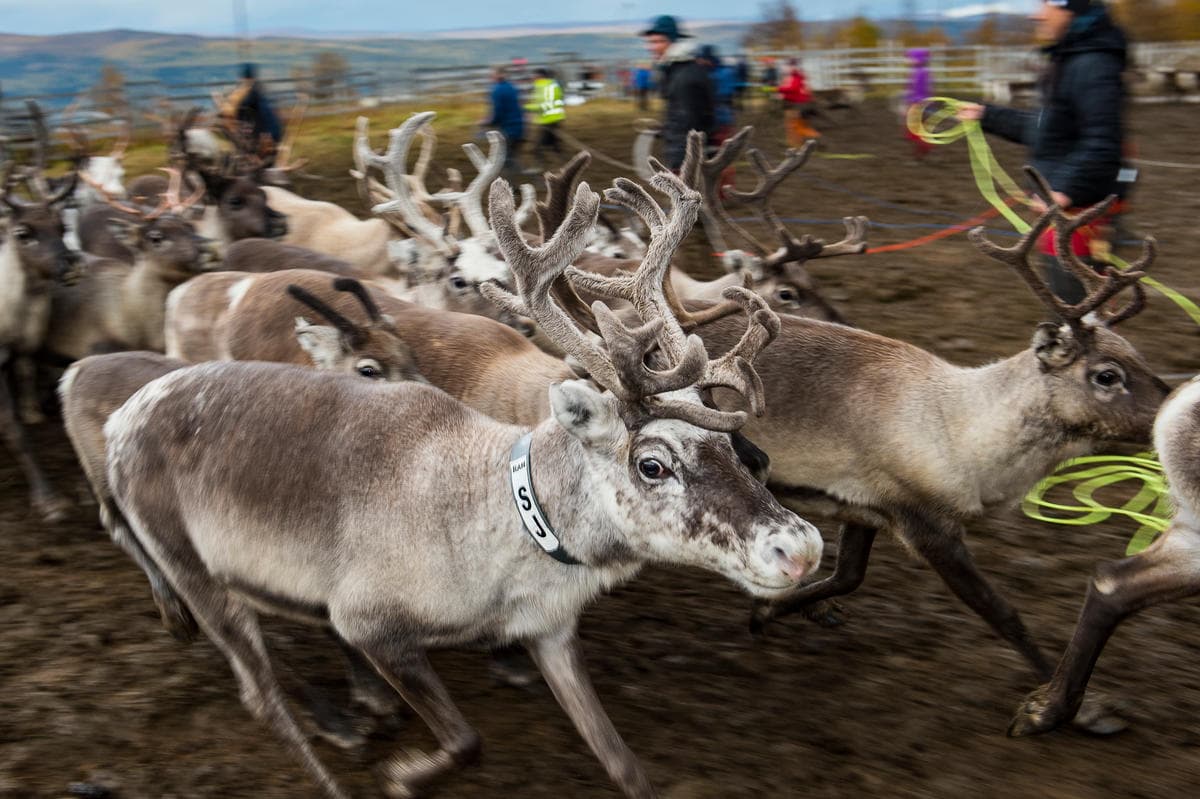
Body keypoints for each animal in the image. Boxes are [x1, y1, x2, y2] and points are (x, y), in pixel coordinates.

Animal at [93, 168, 821, 799]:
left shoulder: (550, 633)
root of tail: (124, 416)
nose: (802, 547)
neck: (512, 518)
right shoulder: (372, 624)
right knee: (258, 690)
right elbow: (467, 740)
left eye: (728, 444)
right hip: (189, 561)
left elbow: (622, 764)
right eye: (652, 463)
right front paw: (404, 774)